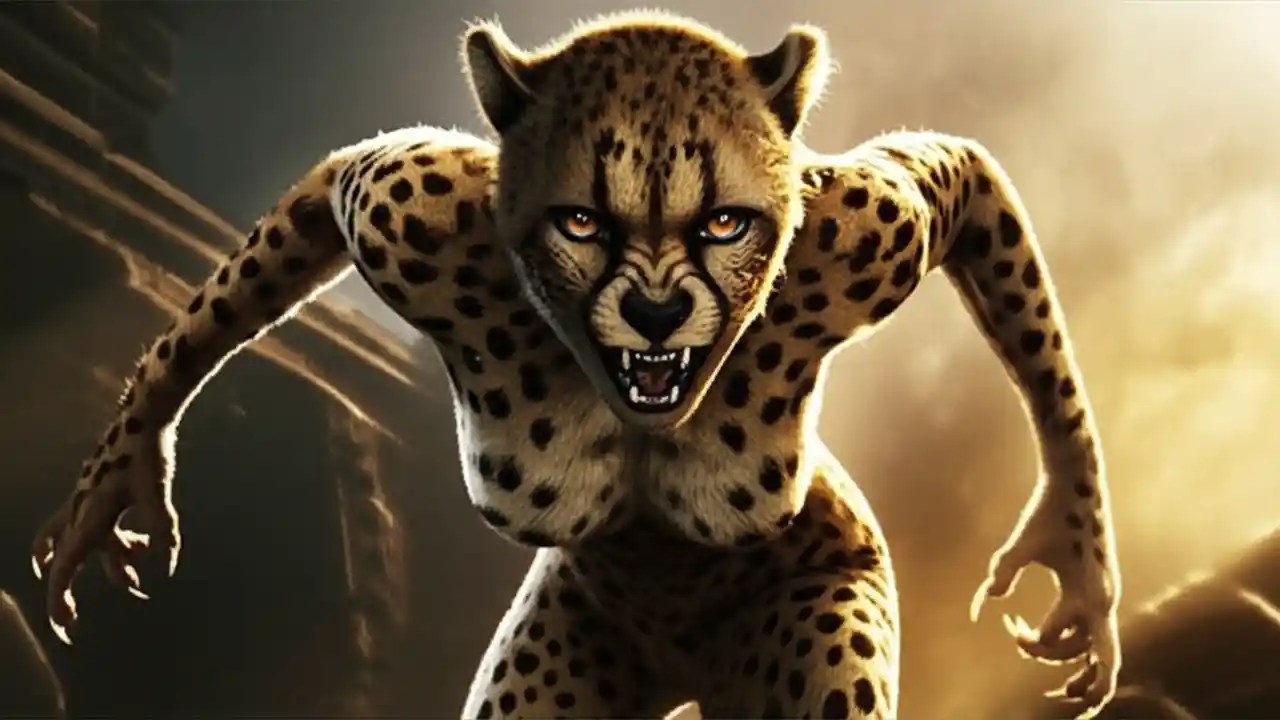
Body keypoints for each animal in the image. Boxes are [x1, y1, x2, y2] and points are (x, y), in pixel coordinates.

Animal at [30, 10, 1122, 720]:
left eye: (723, 223)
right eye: (582, 223)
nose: (654, 309)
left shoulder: (875, 226)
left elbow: (968, 179)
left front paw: (1074, 561)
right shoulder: (398, 208)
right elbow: (307, 209)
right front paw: (123, 470)